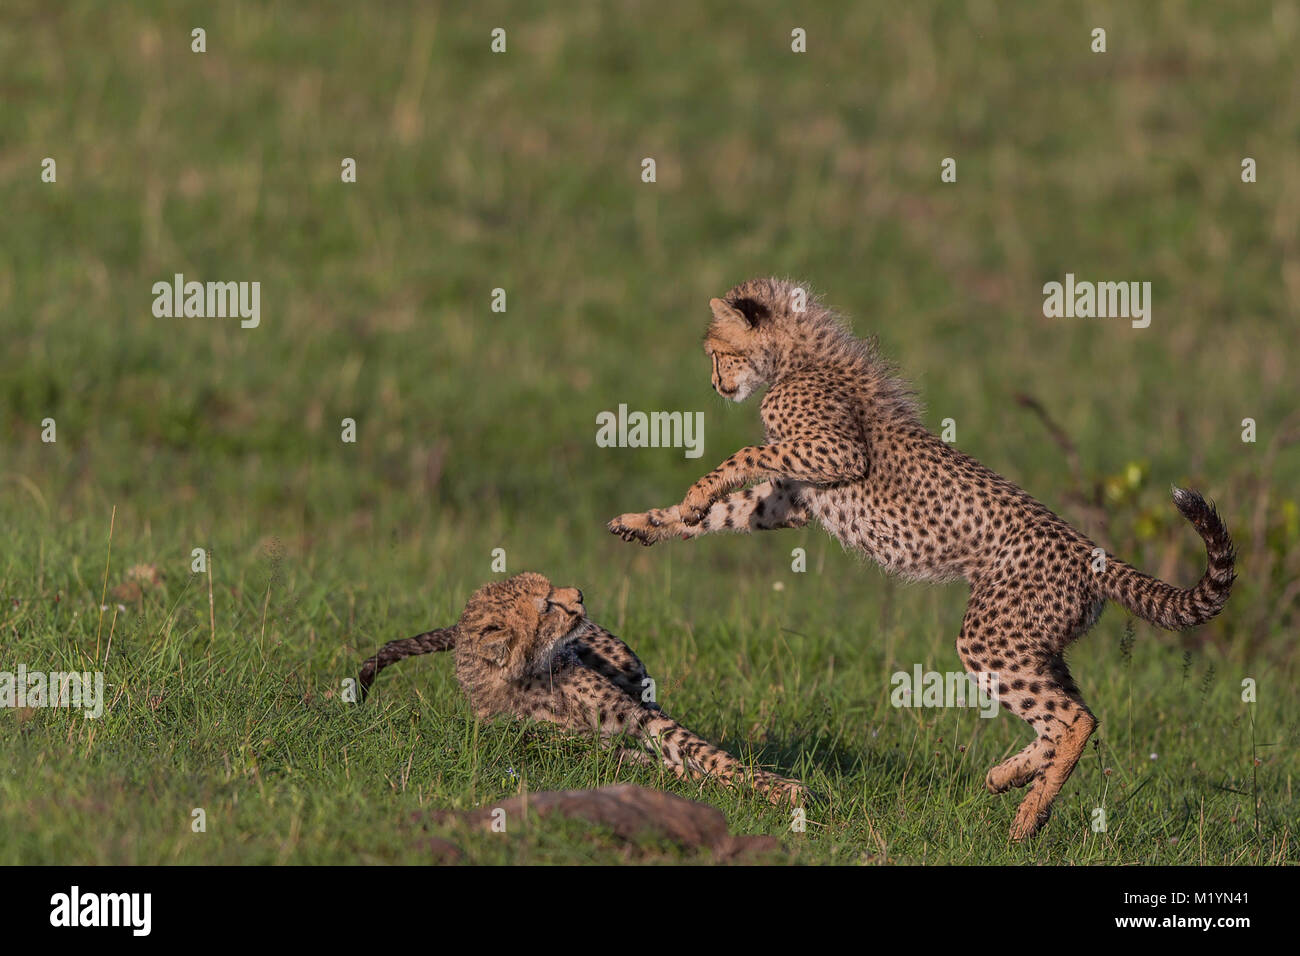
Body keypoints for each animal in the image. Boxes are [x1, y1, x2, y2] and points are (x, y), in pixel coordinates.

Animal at [356, 571, 806, 806]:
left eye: (551, 588)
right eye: (546, 605)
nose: (579, 595)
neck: (534, 675)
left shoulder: (636, 718)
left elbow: (702, 751)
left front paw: (776, 787)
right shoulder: (591, 750)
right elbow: (668, 768)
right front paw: (716, 788)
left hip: (636, 680)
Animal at [608, 276, 1235, 841]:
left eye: (718, 353)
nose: (717, 385)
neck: (794, 357)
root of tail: (1092, 551)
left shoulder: (832, 454)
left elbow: (741, 454)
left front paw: (692, 495)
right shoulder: (793, 497)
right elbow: (728, 511)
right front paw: (648, 521)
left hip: (991, 637)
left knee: (1073, 719)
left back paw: (1027, 817)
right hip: (1038, 643)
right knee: (1070, 715)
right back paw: (1008, 777)